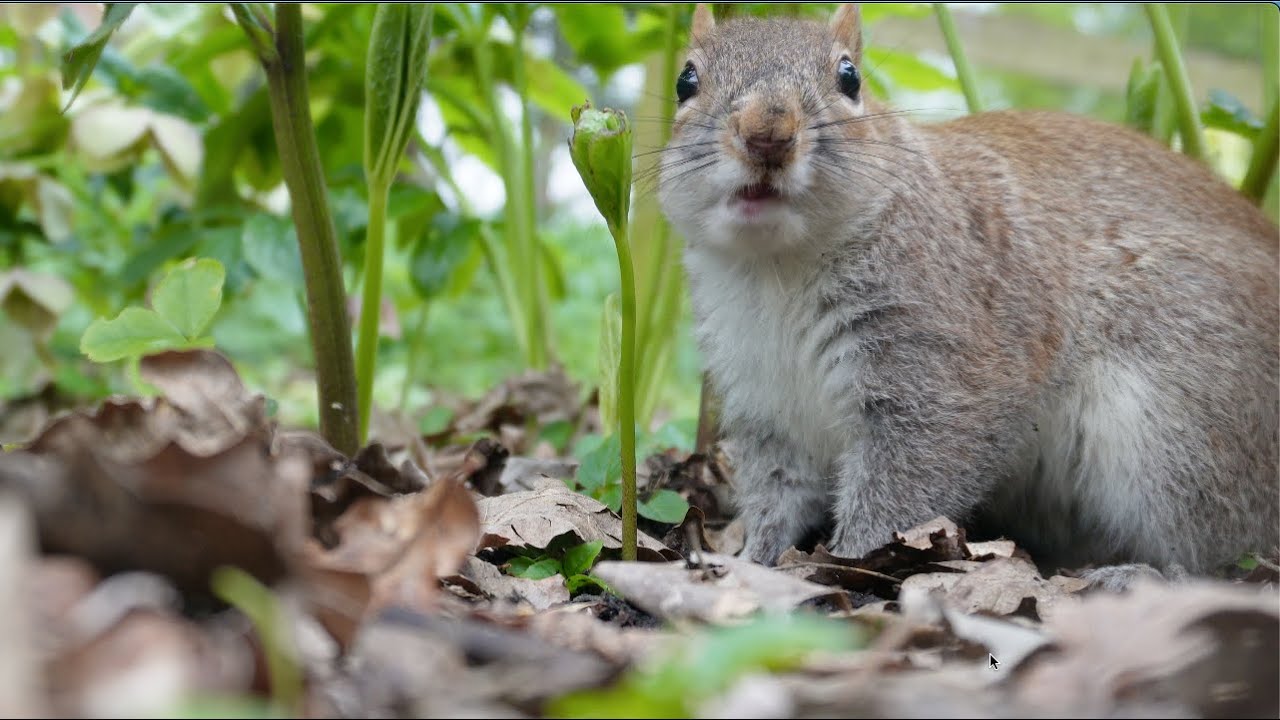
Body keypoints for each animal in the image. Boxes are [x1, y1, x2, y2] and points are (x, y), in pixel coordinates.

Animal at [657, 3, 1279, 580]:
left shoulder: (941, 354)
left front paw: (848, 561)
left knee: (1215, 556)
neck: (777, 269)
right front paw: (754, 558)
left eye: (850, 78)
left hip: (1183, 421)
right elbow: (777, 492)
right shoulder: (766, 396)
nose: (767, 133)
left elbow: (906, 480)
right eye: (686, 80)